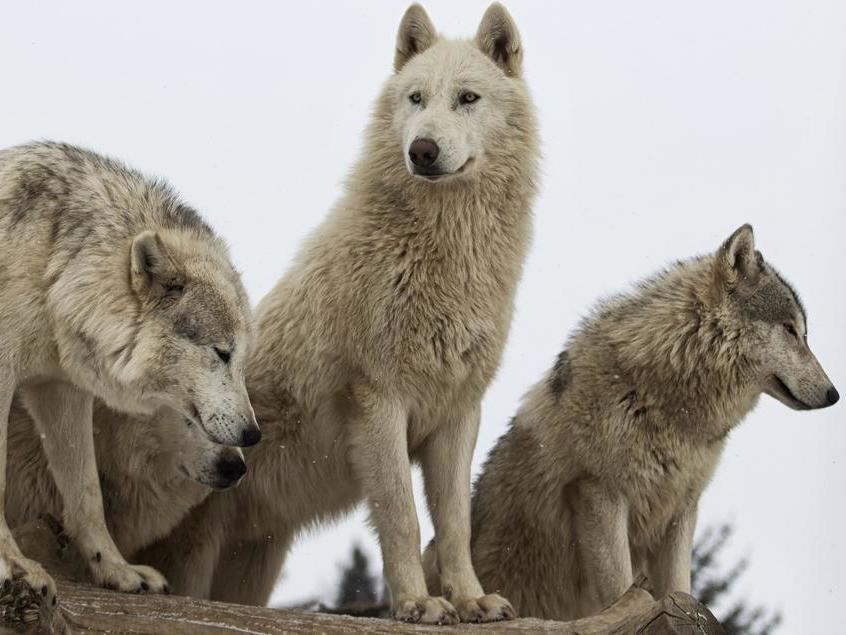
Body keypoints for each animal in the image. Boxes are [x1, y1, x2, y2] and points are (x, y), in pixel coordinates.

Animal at [0, 141, 258, 602]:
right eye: (221, 352)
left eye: (242, 359)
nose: (252, 435)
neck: (53, 268)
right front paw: (15, 567)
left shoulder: (60, 389)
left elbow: (87, 495)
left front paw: (117, 572)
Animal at [139, 3, 538, 624]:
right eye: (417, 98)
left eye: (467, 98)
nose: (422, 150)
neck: (443, 256)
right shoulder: (379, 403)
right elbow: (402, 517)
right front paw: (417, 604)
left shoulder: (459, 413)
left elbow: (455, 524)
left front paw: (471, 600)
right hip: (193, 554)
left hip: (253, 565)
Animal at [422, 224, 839, 620]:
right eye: (791, 330)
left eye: (803, 333)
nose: (834, 394)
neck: (669, 403)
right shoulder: (600, 494)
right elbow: (621, 590)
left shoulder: (682, 509)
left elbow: (681, 590)